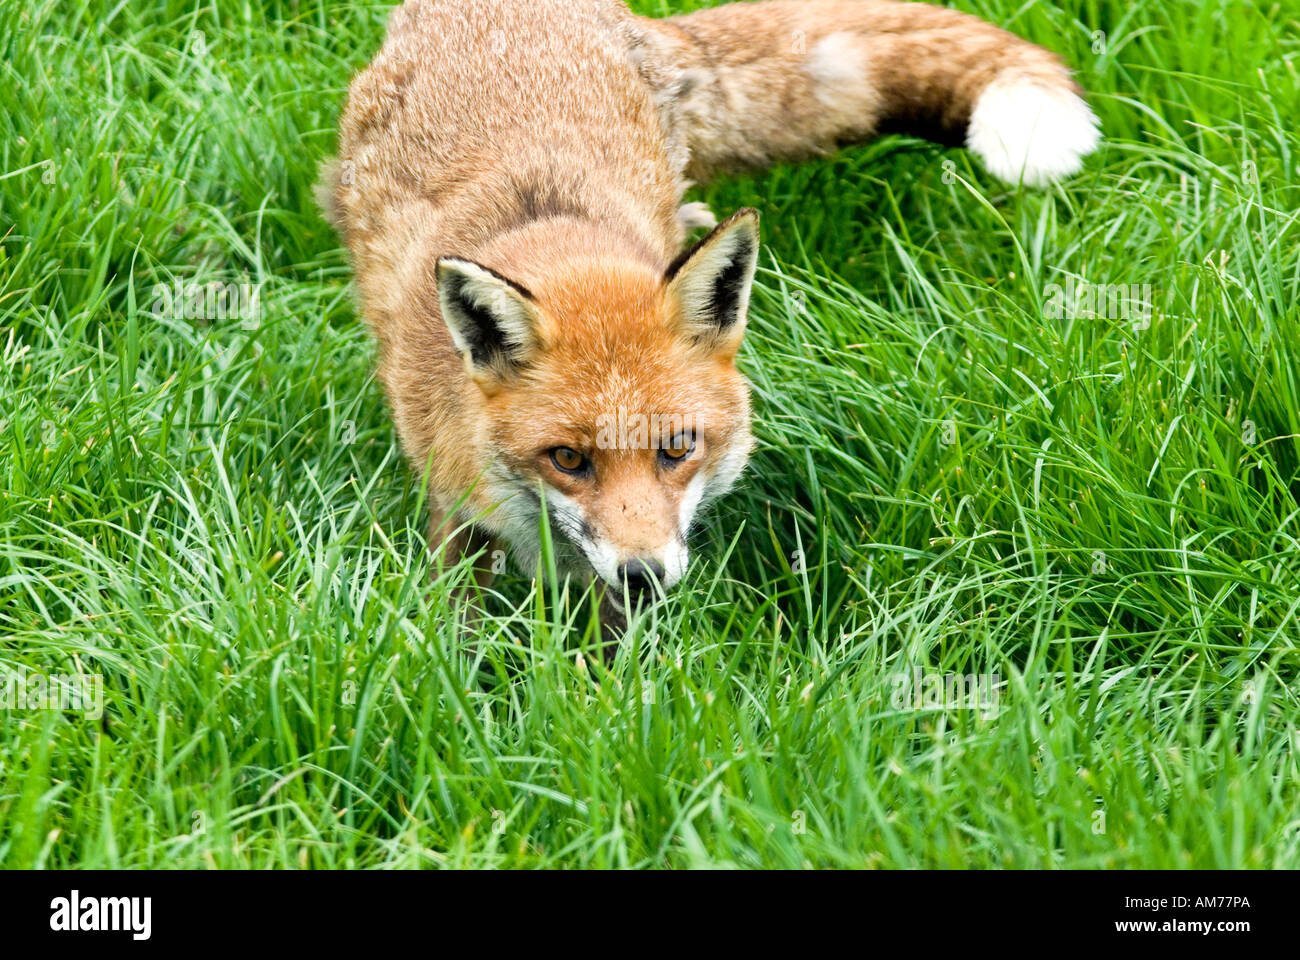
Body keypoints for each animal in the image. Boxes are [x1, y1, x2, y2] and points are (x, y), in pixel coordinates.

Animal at [319, 0, 1100, 628]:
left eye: (678, 447)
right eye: (568, 458)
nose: (643, 574)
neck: (554, 231)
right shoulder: (455, 509)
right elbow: (456, 636)